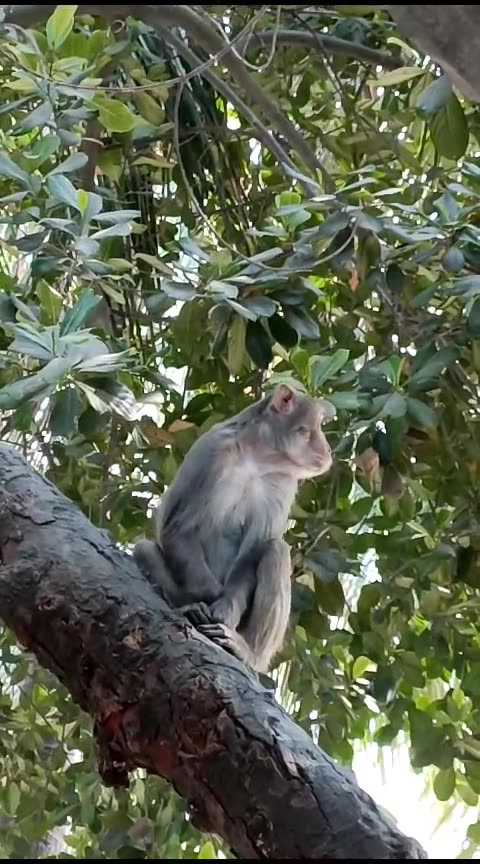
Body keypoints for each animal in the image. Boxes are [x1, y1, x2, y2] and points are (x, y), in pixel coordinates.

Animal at [134, 383, 333, 673]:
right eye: (309, 430)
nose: (328, 451)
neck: (257, 458)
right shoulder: (214, 453)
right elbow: (179, 528)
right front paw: (208, 598)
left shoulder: (283, 482)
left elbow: (254, 550)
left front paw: (225, 607)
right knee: (144, 549)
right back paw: (186, 606)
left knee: (275, 550)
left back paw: (249, 653)